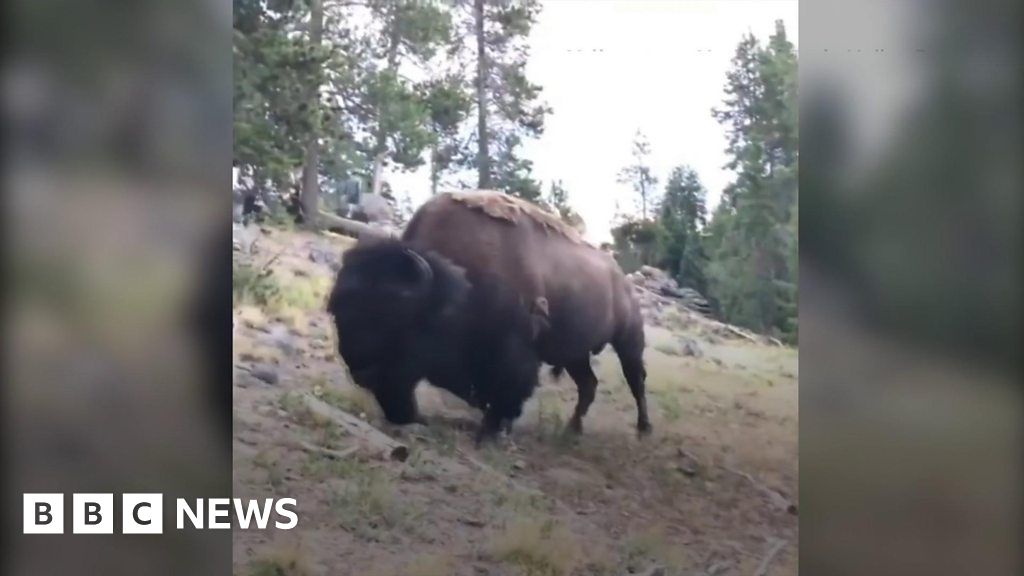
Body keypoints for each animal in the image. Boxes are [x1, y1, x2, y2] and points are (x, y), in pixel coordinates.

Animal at [327, 191, 651, 441]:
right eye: (338, 314)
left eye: (396, 321)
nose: (360, 371)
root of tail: (623, 279)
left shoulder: (514, 349)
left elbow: (507, 387)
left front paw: (494, 429)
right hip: (575, 355)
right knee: (588, 385)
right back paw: (572, 429)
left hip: (628, 341)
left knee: (635, 380)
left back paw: (643, 429)